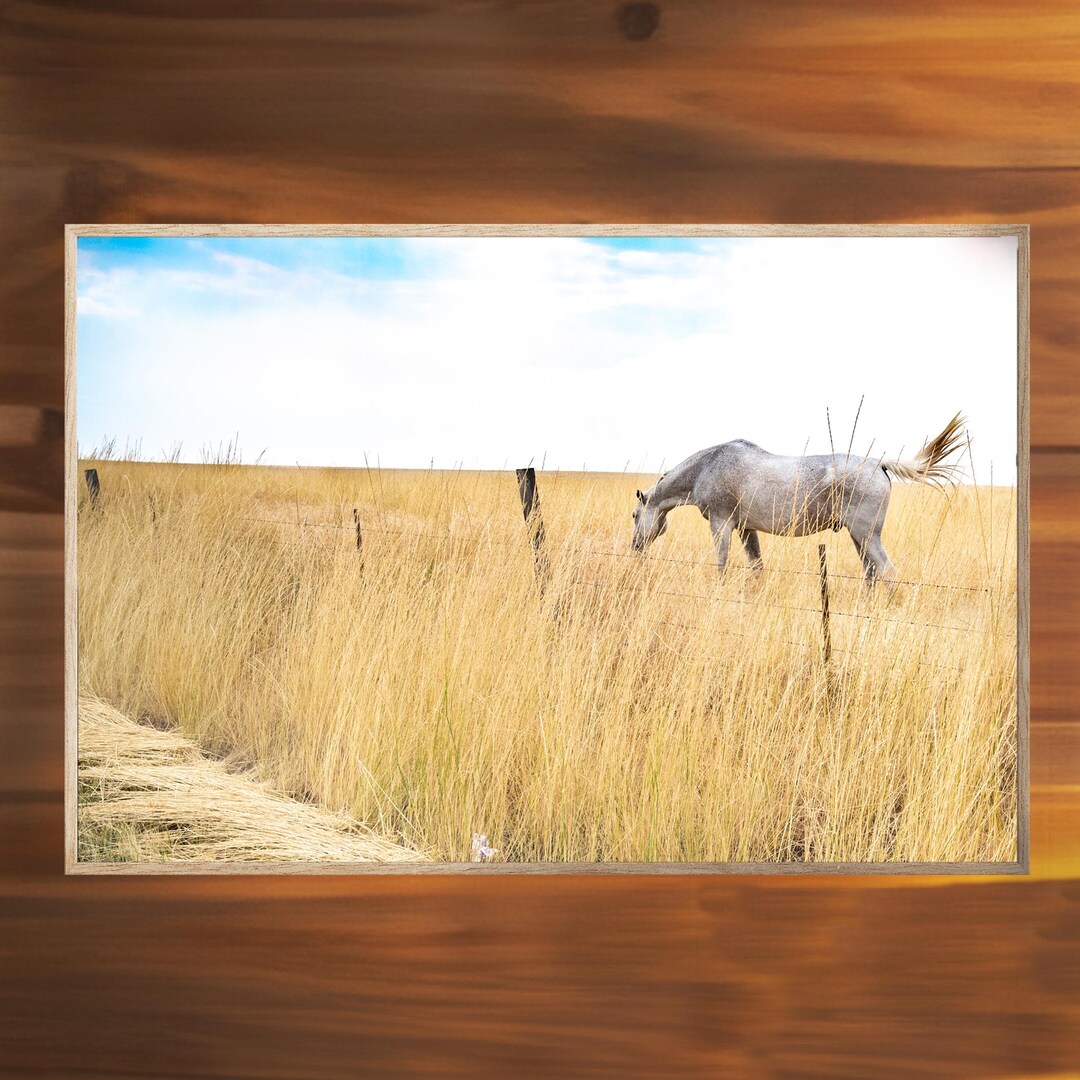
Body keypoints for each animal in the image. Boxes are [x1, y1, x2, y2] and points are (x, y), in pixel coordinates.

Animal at [631, 413, 966, 585]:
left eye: (634, 516)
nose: (634, 548)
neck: (708, 465)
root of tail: (878, 463)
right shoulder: (746, 529)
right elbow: (757, 565)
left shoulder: (721, 523)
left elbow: (722, 563)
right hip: (860, 537)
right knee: (871, 574)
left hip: (866, 535)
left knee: (886, 572)